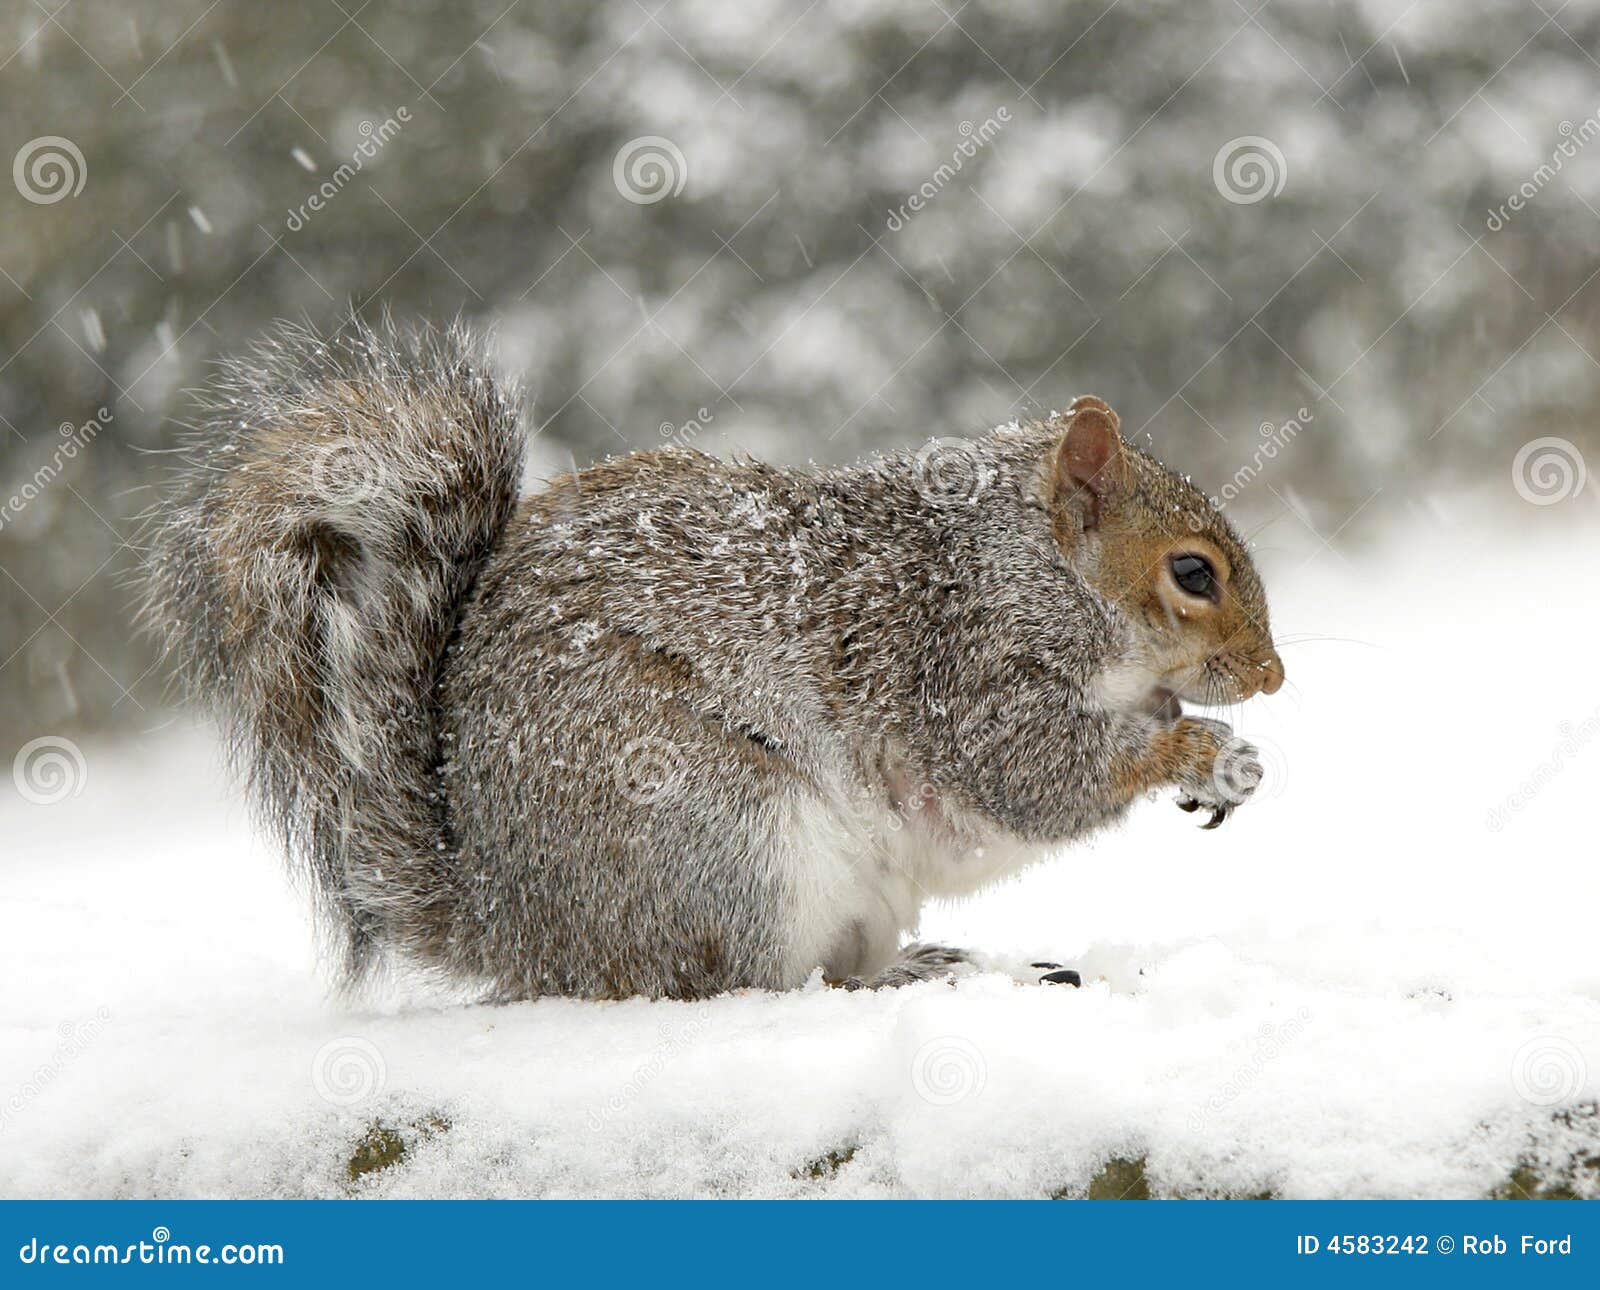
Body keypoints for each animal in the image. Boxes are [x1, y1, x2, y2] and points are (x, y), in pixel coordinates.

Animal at [140, 318, 1285, 1001]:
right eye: (1192, 572)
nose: (1271, 678)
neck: (1027, 564)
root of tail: (513, 931)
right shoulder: (963, 663)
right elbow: (1035, 774)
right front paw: (1202, 753)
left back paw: (919, 961)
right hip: (722, 830)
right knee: (746, 983)